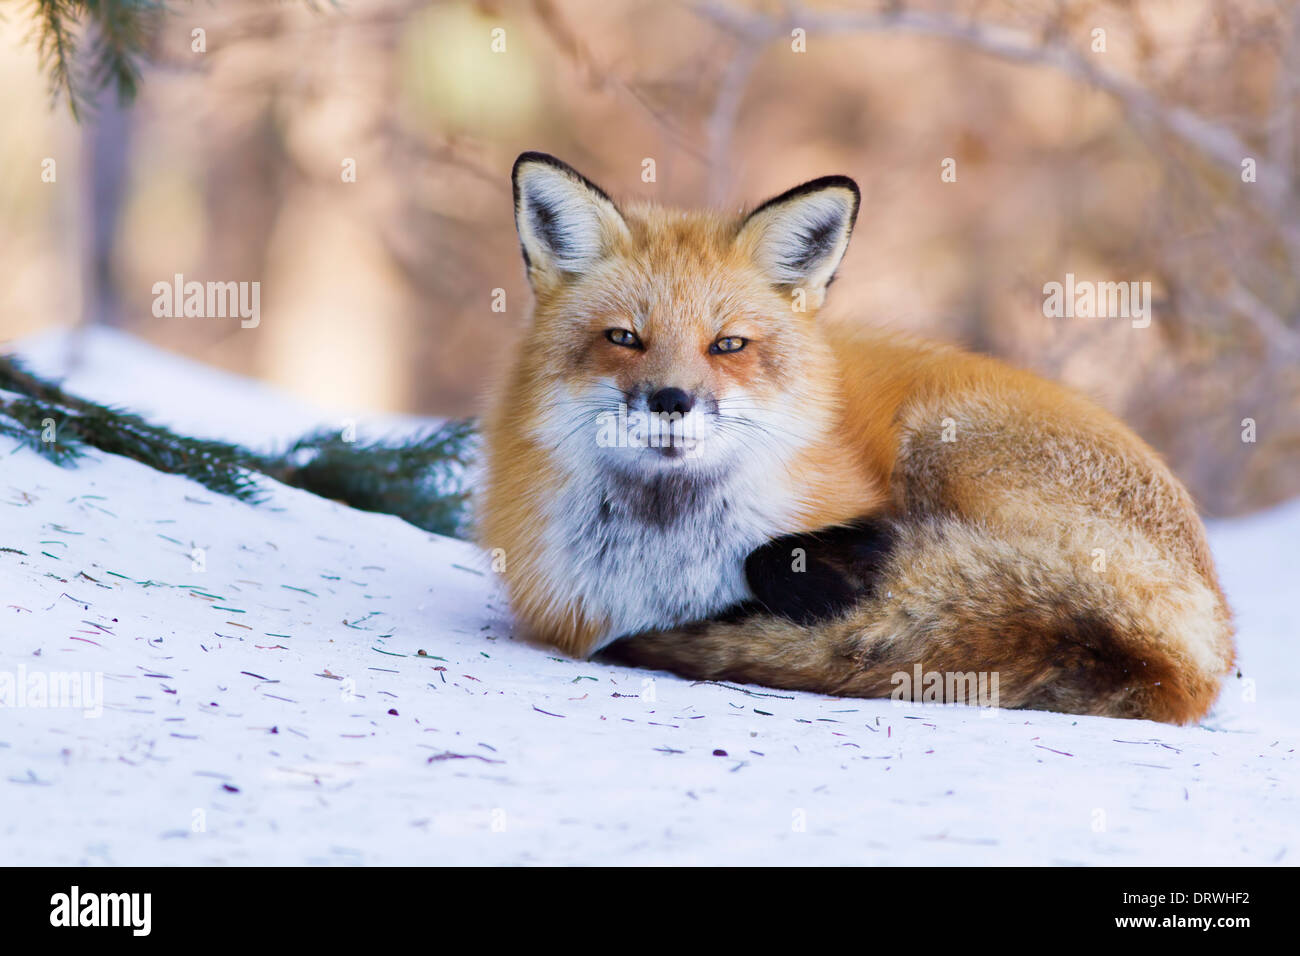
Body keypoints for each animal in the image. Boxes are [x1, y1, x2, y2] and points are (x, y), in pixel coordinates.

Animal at [477, 151, 1236, 724]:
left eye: (728, 345)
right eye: (625, 338)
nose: (672, 402)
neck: (665, 552)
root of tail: (1212, 643)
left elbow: (783, 555)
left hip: (945, 442)